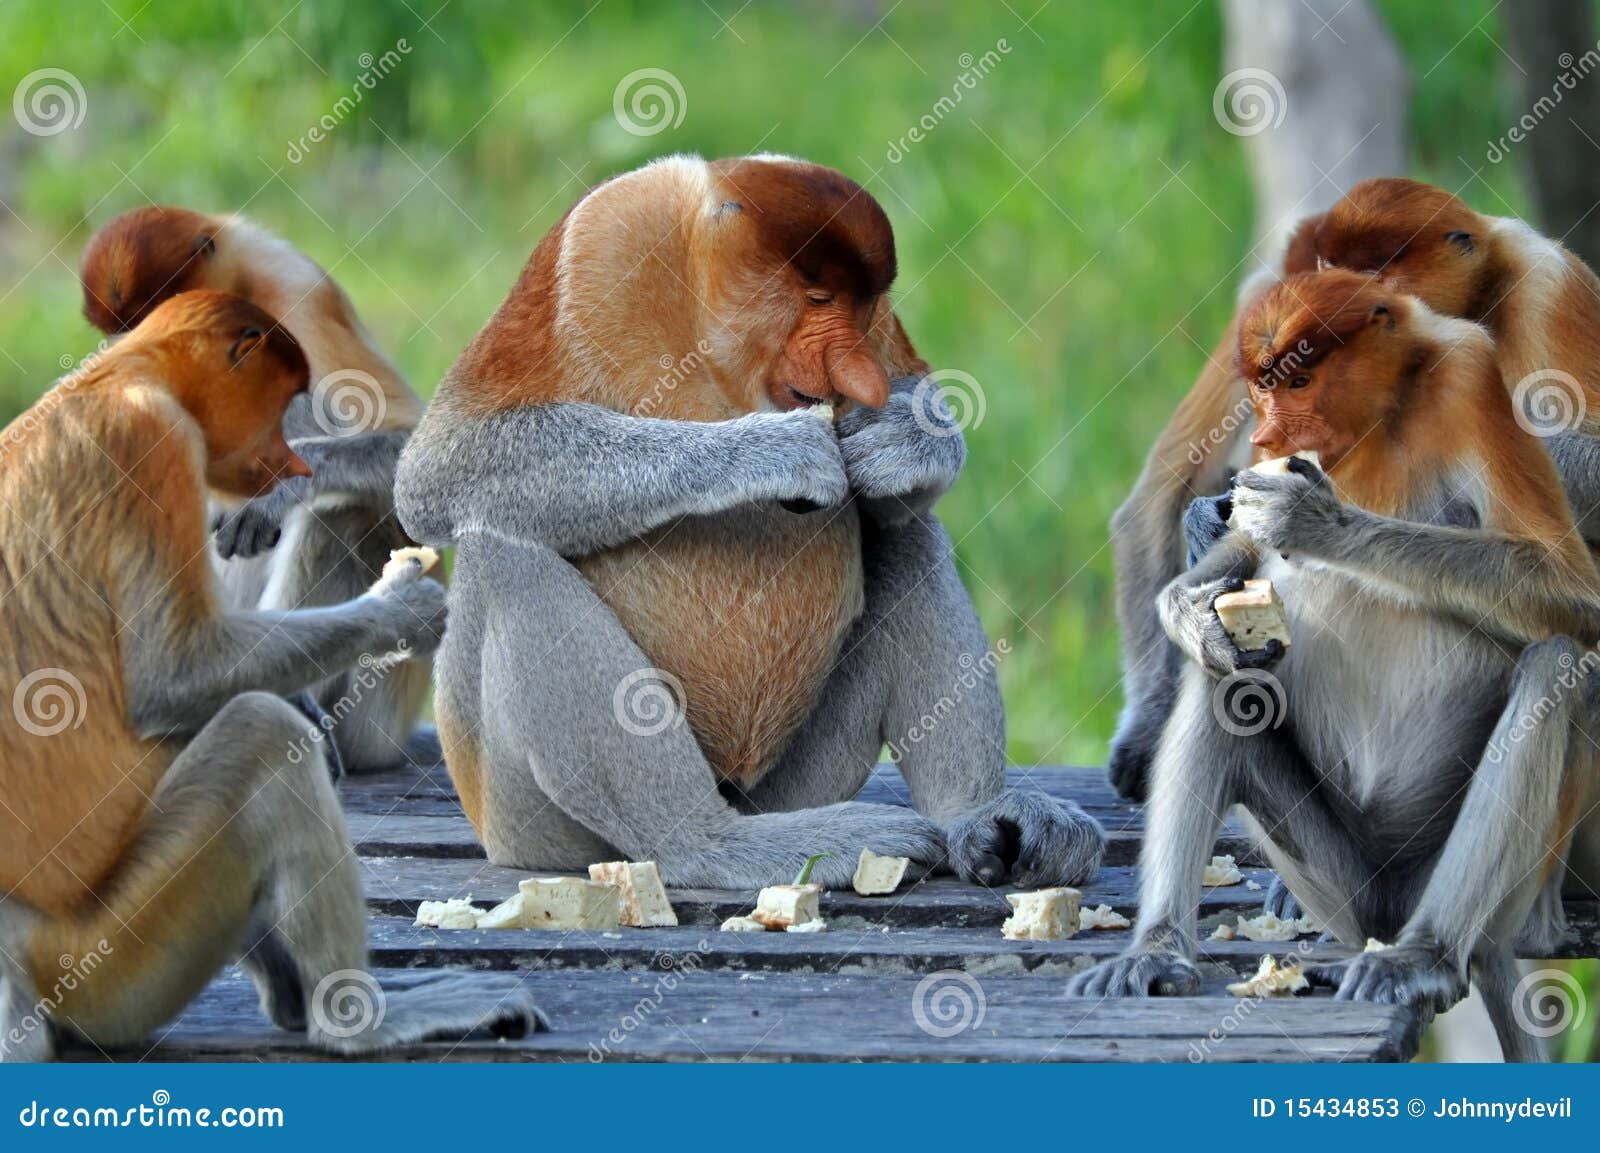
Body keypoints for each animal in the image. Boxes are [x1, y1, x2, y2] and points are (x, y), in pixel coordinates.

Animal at [0, 291, 538, 1059]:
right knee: (261, 733)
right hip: (103, 956)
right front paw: (401, 610)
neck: (122, 373)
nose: (280, 460)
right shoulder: (151, 440)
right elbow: (173, 677)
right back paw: (358, 1021)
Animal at [78, 206, 437, 774]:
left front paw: (272, 497)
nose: (142, 346)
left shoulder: (300, 293)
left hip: (376, 718)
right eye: (121, 329)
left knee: (344, 517)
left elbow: (412, 448)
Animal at [392, 154, 1106, 891]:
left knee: (903, 535)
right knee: (503, 551)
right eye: (817, 300)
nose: (861, 378)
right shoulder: (599, 238)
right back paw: (713, 843)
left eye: (862, 306)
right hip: (529, 823)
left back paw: (983, 817)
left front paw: (906, 440)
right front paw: (777, 452)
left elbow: (898, 499)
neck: (708, 343)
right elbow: (442, 466)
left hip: (794, 780)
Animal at [1068, 270, 1600, 1062]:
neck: (1385, 418)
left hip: (1503, 891)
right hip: (1343, 888)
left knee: (1556, 662)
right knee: (1224, 681)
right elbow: (1233, 575)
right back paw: (1156, 952)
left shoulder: (1471, 379)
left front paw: (1315, 521)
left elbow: (1568, 587)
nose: (1265, 433)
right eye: (1260, 387)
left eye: (1301, 378)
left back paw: (1422, 956)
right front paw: (1190, 607)